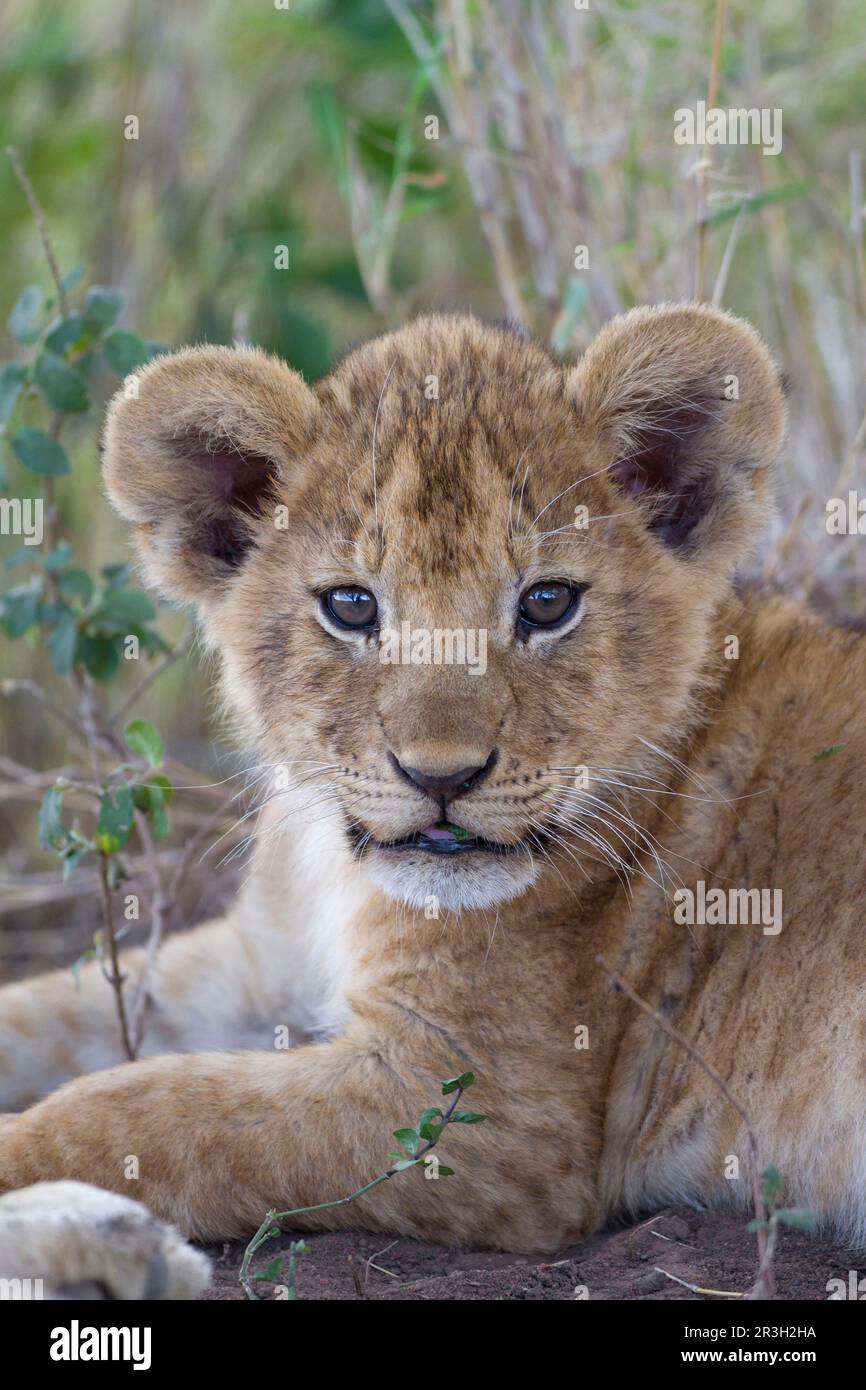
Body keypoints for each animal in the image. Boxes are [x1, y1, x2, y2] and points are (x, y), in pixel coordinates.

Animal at [1, 303, 864, 1297]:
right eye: (350, 606)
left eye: (547, 602)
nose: (442, 778)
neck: (337, 873)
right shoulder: (252, 966)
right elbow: (49, 1014)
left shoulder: (485, 1111)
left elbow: (144, 1109)